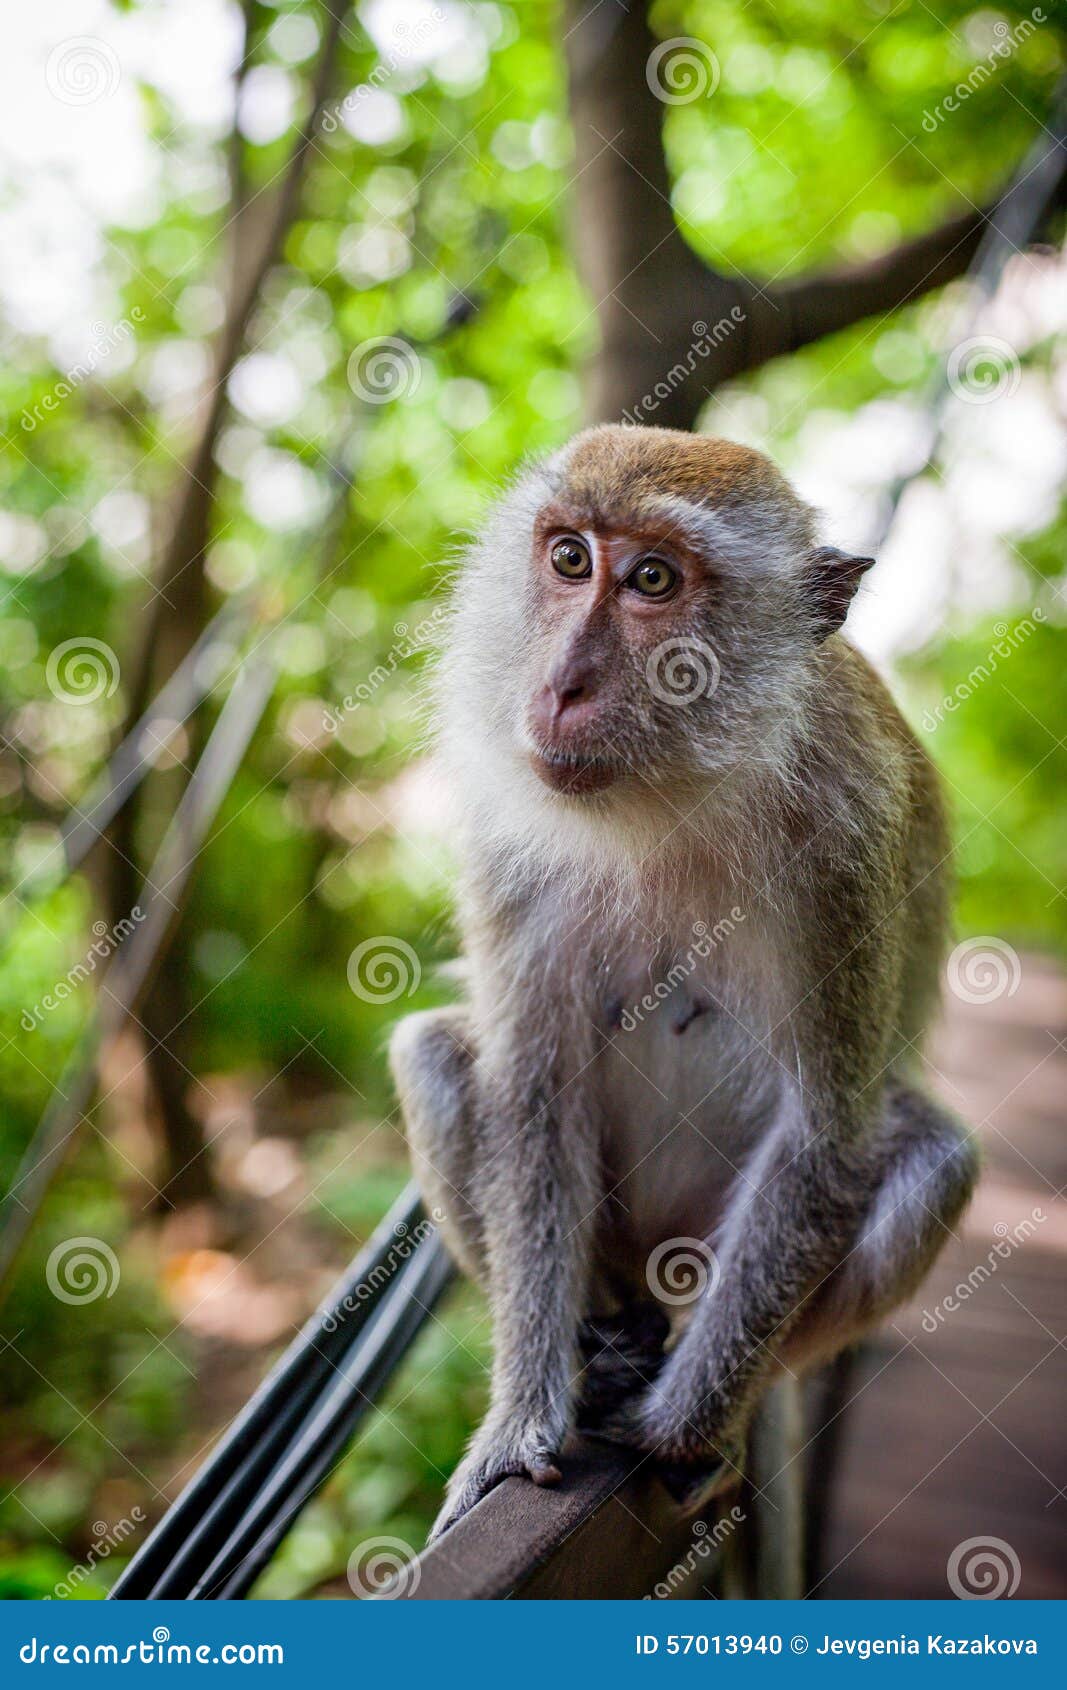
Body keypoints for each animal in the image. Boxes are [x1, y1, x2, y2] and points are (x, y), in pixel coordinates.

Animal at [389, 423, 979, 1540]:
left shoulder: (848, 845)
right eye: (568, 558)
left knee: (934, 1163)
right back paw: (607, 1341)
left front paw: (675, 1426)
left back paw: (715, 1422)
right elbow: (531, 1102)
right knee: (435, 1057)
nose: (562, 684)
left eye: (653, 580)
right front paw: (516, 1427)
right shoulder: (503, 839)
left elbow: (821, 1141)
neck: (668, 797)